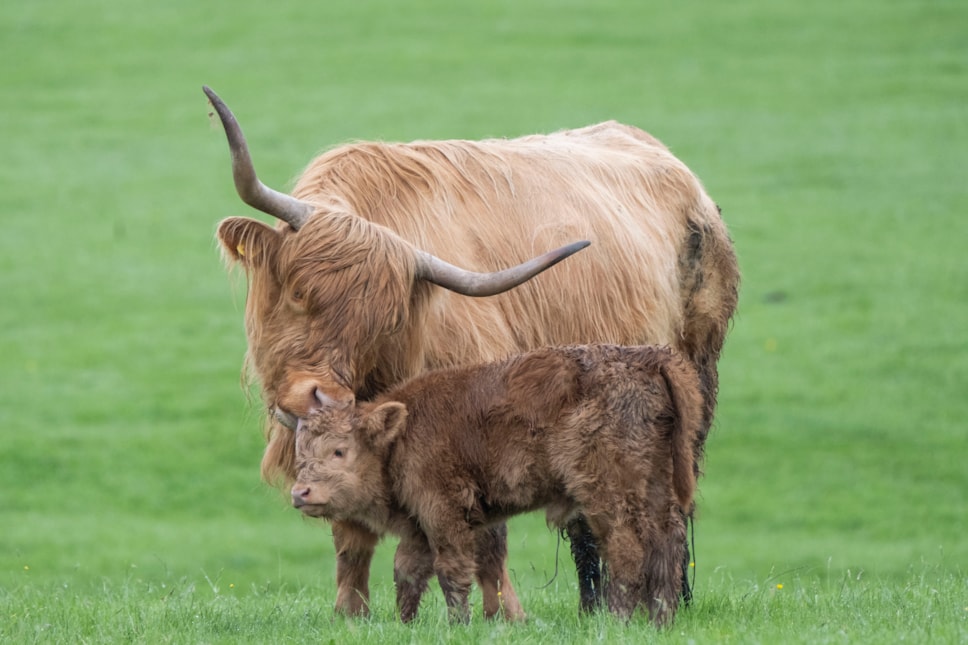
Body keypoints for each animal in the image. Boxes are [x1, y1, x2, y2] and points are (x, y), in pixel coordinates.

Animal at [291, 344, 701, 626]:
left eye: (340, 451)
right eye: (300, 454)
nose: (300, 492)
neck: (402, 433)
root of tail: (650, 359)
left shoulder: (444, 511)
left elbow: (451, 568)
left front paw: (459, 623)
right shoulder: (420, 523)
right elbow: (407, 570)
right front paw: (405, 622)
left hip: (607, 491)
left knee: (626, 547)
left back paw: (616, 620)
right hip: (655, 484)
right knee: (667, 543)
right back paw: (661, 620)